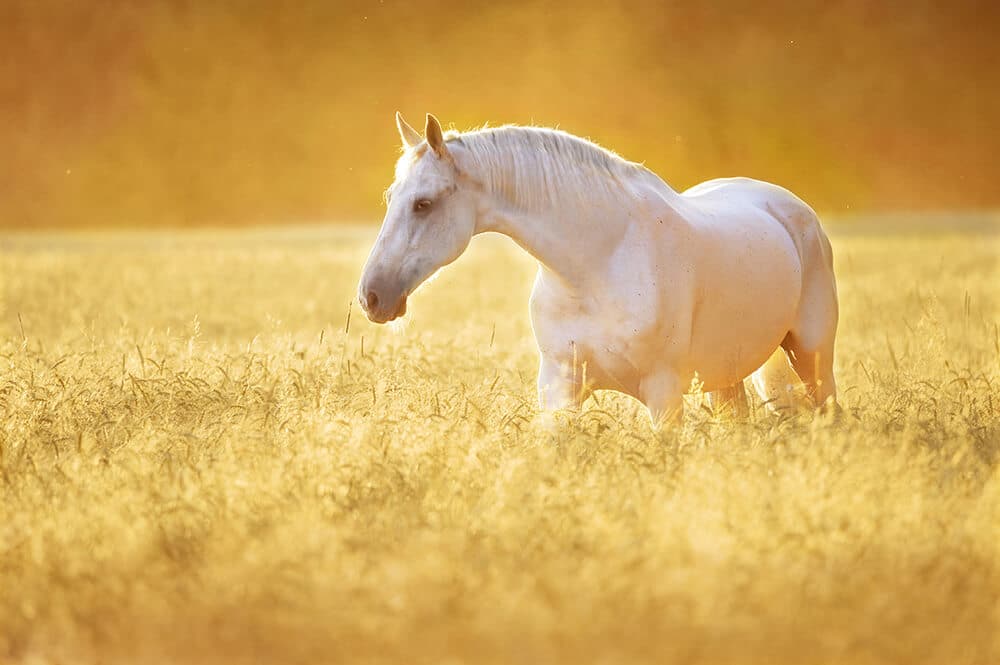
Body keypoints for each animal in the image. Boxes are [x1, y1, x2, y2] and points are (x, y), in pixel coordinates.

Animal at [358, 112, 839, 423]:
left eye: (423, 203)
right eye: (390, 198)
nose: (371, 296)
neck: (596, 265)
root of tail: (791, 207)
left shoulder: (664, 394)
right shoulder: (559, 388)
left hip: (812, 358)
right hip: (726, 375)